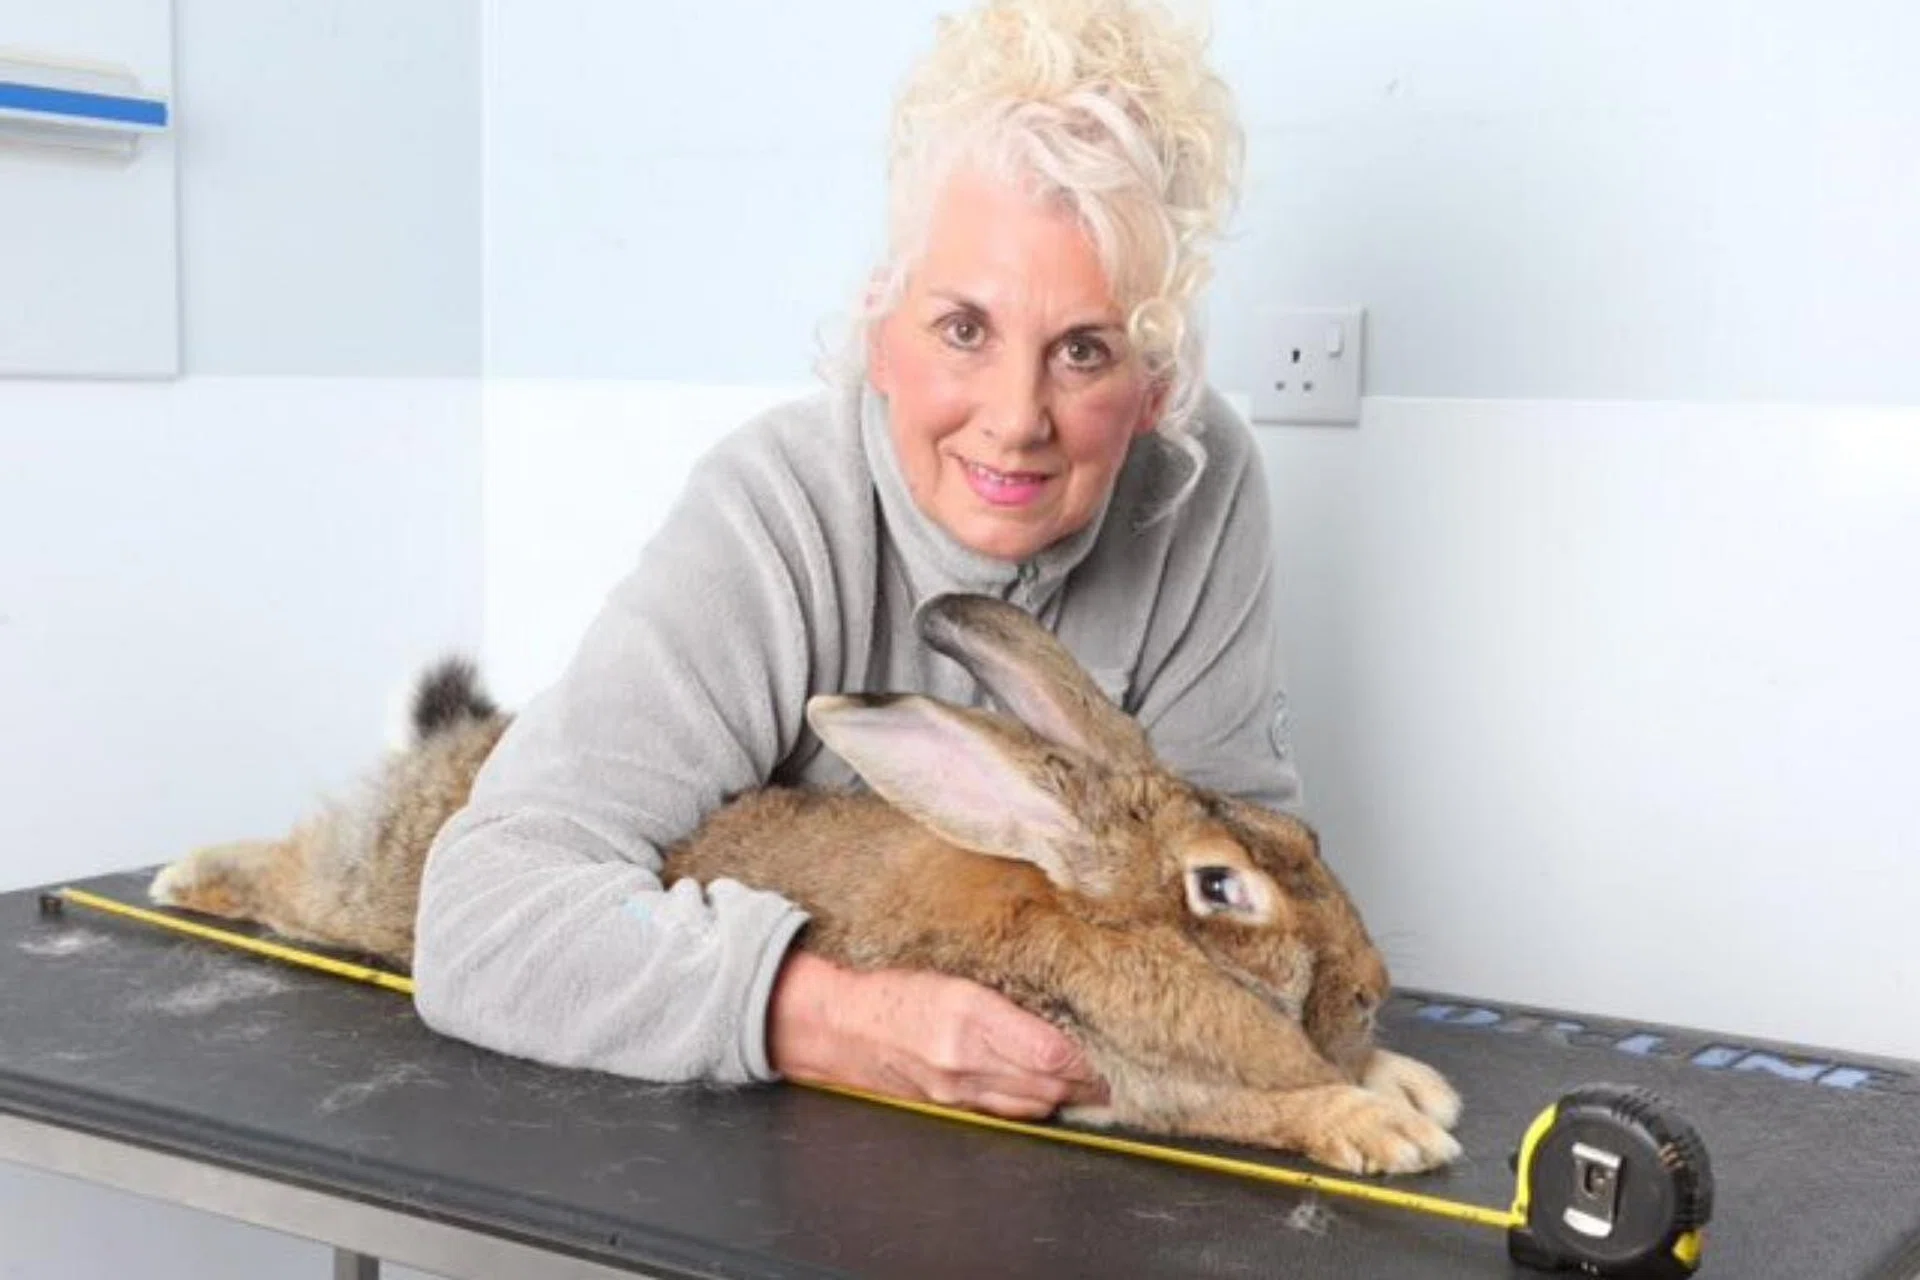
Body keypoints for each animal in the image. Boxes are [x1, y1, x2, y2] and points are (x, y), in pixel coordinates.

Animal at [150, 593, 1462, 1175]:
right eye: (1222, 889)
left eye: (1300, 834)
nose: (1370, 988)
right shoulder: (1118, 1078)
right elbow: (1247, 1107)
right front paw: (1386, 1129)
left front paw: (1413, 1082)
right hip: (371, 894)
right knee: (292, 869)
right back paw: (184, 871)